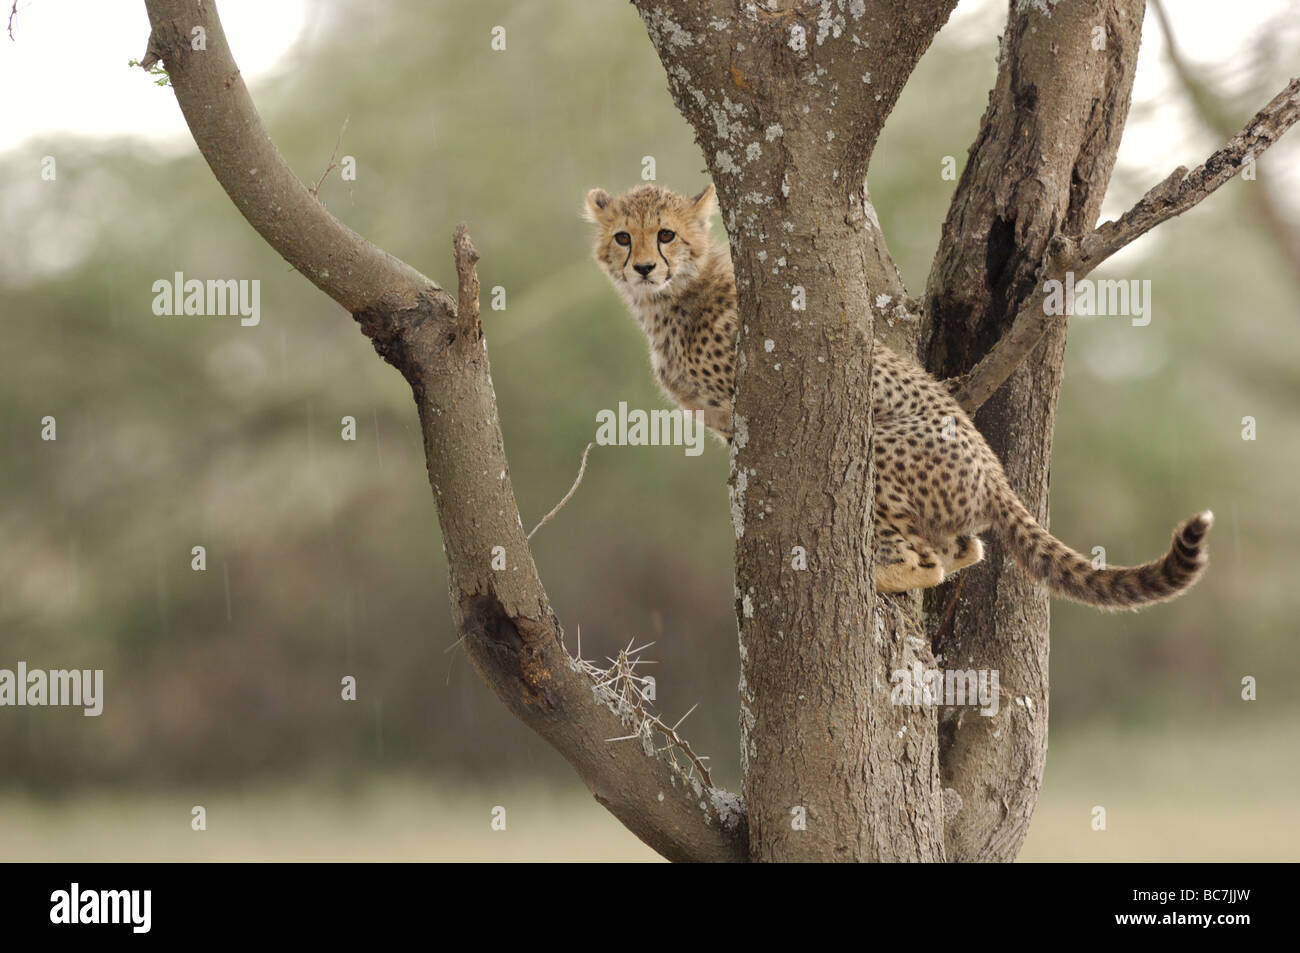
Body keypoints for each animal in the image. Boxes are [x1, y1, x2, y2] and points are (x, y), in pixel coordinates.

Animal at [584, 182, 1212, 609]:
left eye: (666, 234)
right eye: (624, 236)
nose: (644, 267)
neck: (668, 301)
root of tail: (996, 473)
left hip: (879, 447)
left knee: (930, 559)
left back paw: (877, 577)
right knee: (967, 550)